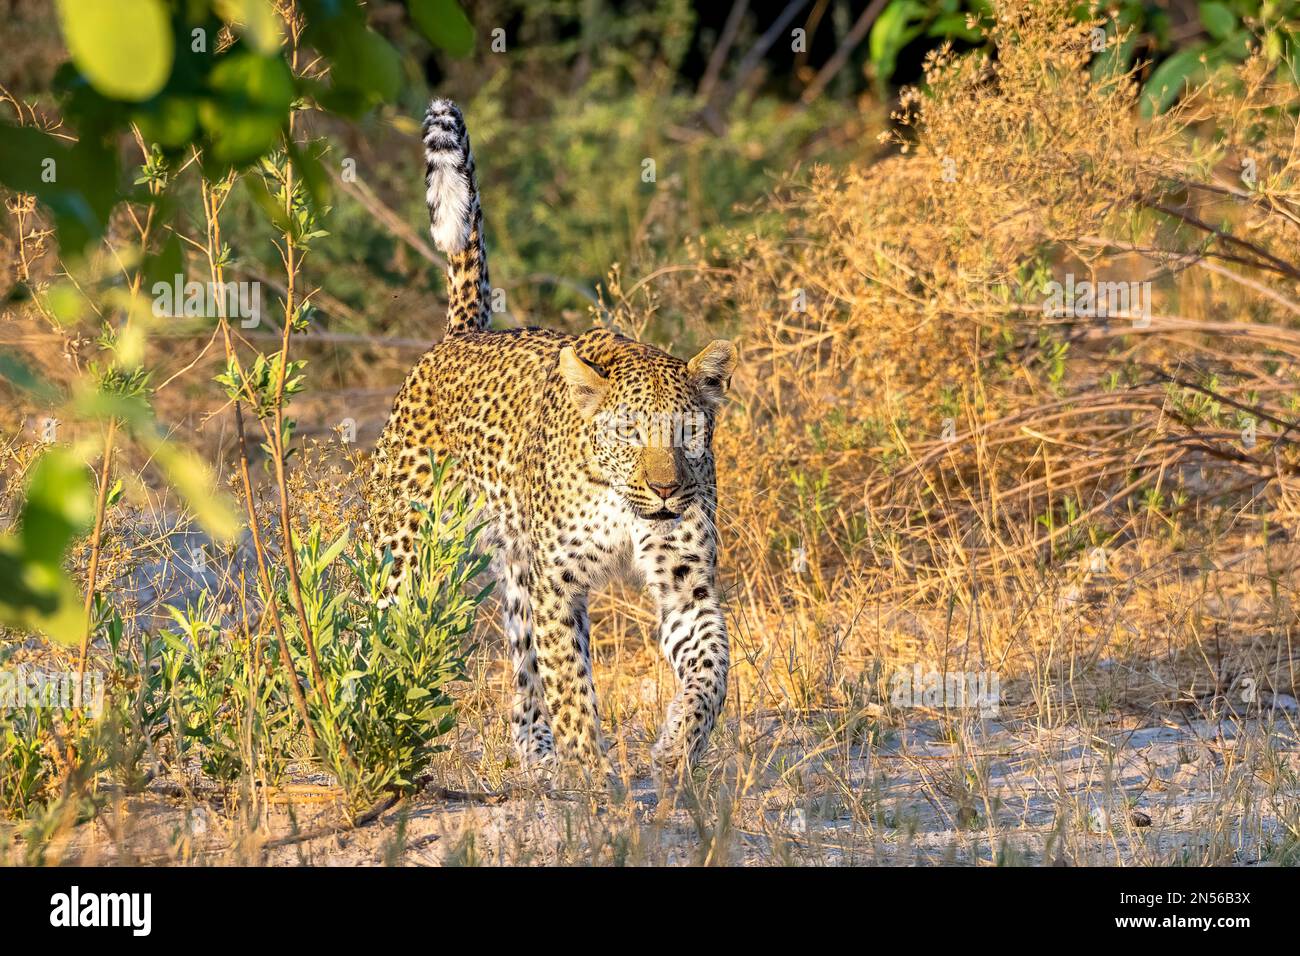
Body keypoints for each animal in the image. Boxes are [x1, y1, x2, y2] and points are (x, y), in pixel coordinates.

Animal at [368, 99, 737, 773]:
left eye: (688, 429)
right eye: (627, 431)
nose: (667, 492)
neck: (622, 502)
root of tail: (463, 334)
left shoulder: (686, 585)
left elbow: (711, 672)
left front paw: (678, 746)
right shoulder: (558, 584)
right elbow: (569, 679)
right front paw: (595, 769)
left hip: (517, 569)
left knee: (522, 669)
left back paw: (536, 752)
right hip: (404, 549)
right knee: (374, 626)